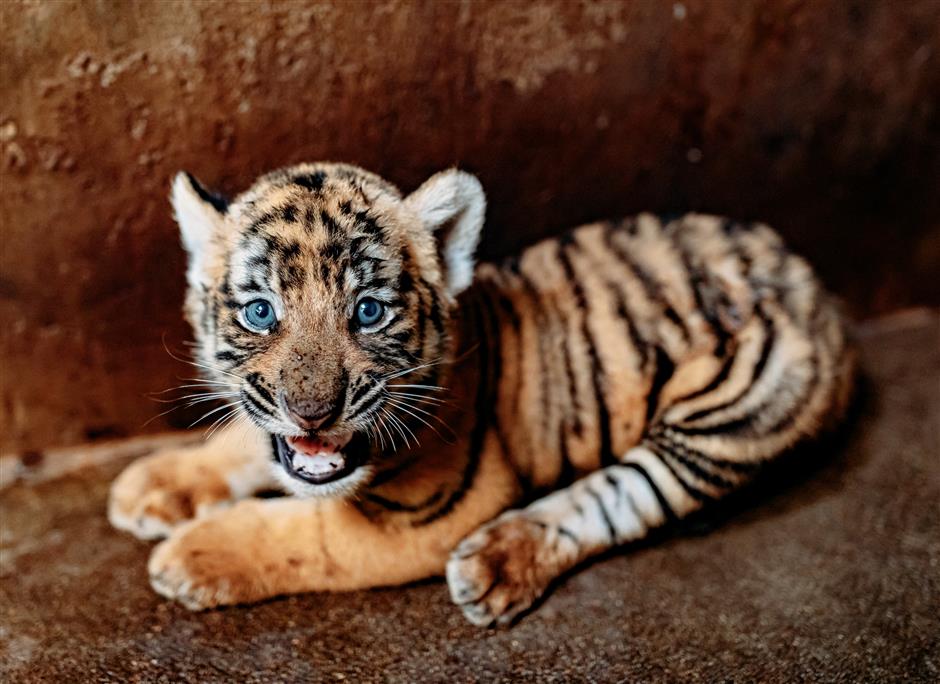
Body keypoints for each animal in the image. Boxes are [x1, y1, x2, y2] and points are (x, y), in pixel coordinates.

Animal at [109, 162, 855, 626]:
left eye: (368, 312)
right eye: (261, 312)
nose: (312, 414)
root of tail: (807, 278)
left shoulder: (421, 516)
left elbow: (303, 532)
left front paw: (191, 556)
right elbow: (244, 437)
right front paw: (151, 486)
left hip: (729, 419)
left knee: (620, 497)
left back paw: (496, 564)